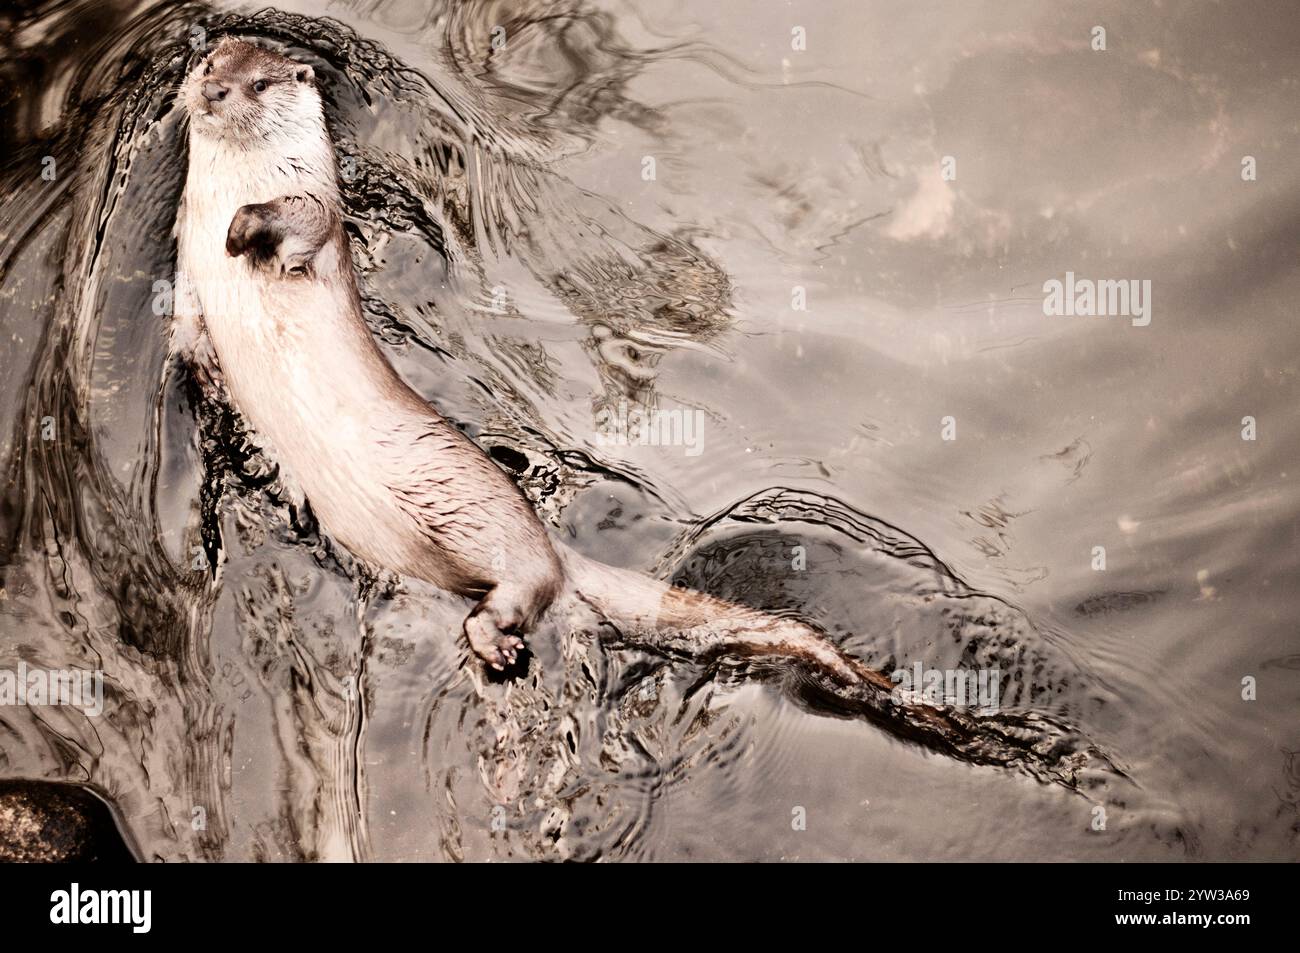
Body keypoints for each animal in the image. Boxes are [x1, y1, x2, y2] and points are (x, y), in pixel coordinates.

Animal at [173, 37, 897, 694]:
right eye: (210, 64)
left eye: (259, 83)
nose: (214, 90)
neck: (235, 186)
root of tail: (555, 545)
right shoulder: (186, 270)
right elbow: (187, 323)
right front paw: (201, 365)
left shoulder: (318, 215)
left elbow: (300, 219)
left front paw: (243, 228)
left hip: (487, 526)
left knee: (528, 589)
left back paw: (495, 644)